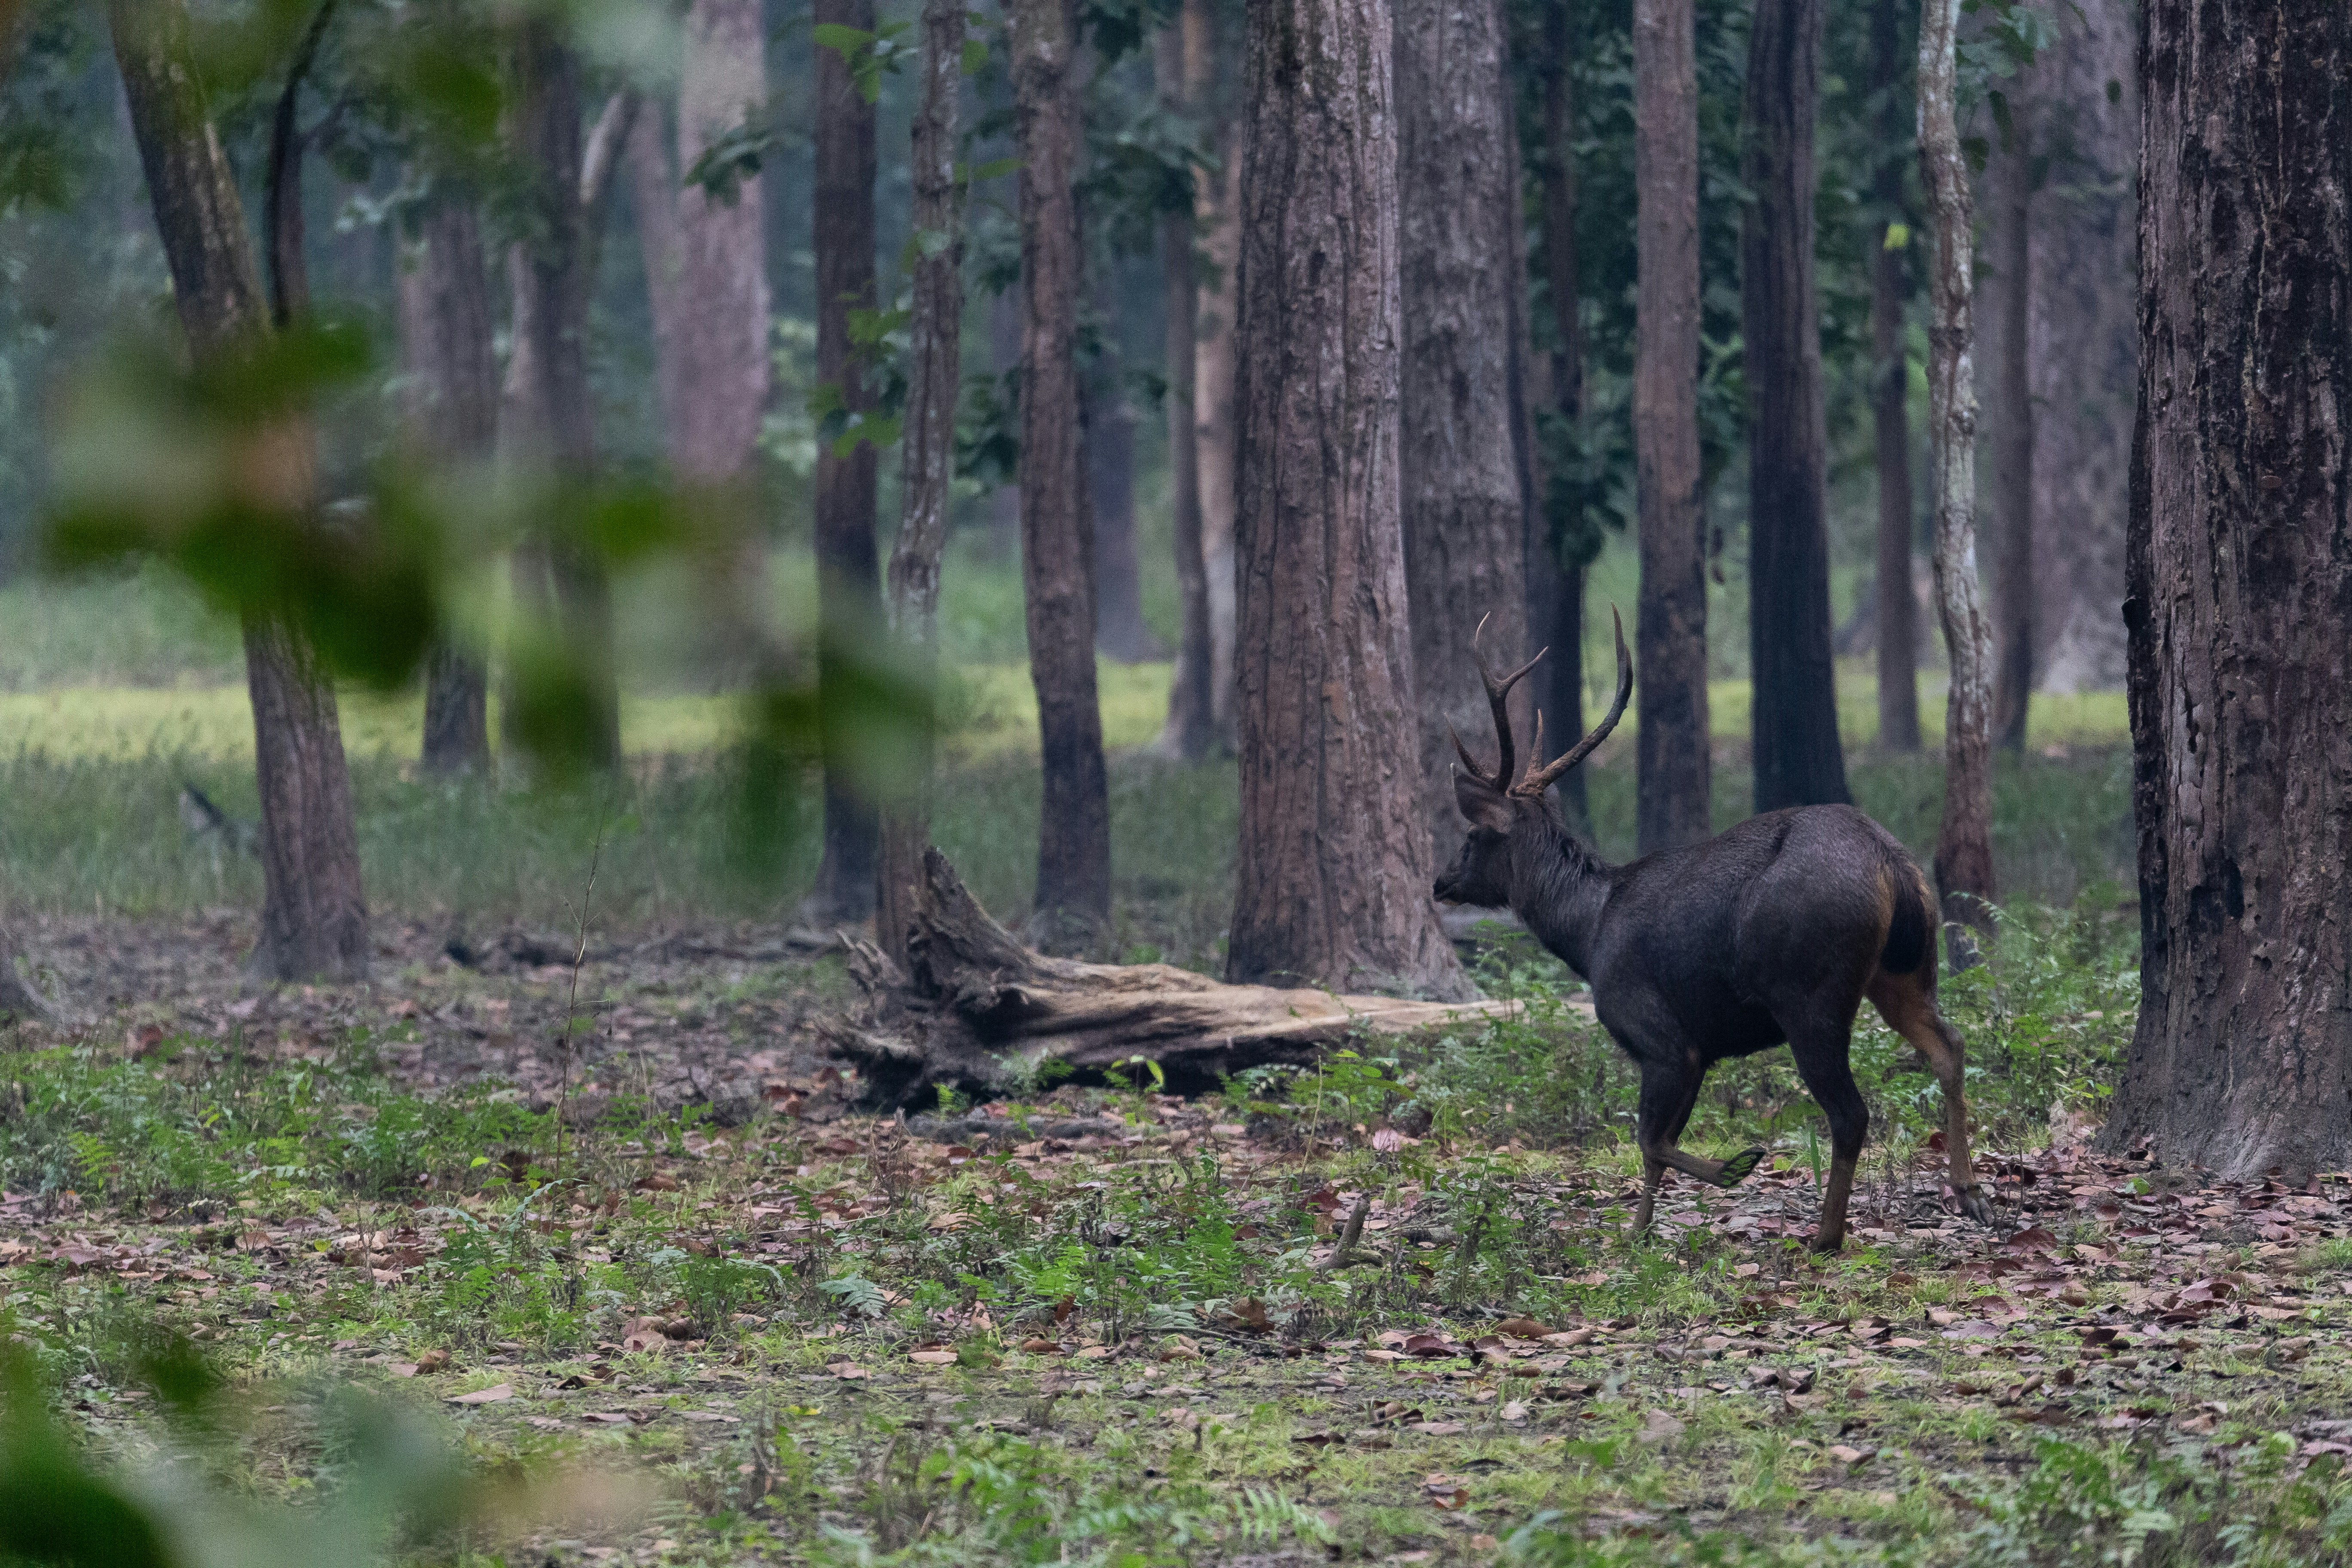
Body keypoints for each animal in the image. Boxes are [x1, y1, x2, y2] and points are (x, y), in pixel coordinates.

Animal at [1431, 610, 1994, 1252]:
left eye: (1473, 836)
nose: (1441, 881)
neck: (1589, 933)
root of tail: (1891, 864)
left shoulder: (1663, 1037)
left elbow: (1651, 1141)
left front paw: (1733, 1168)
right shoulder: (1698, 1050)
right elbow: (1655, 1148)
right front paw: (1639, 1232)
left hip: (1809, 992)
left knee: (1851, 1112)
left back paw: (1824, 1236)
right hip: (1905, 969)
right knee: (1949, 1045)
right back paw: (1970, 1192)